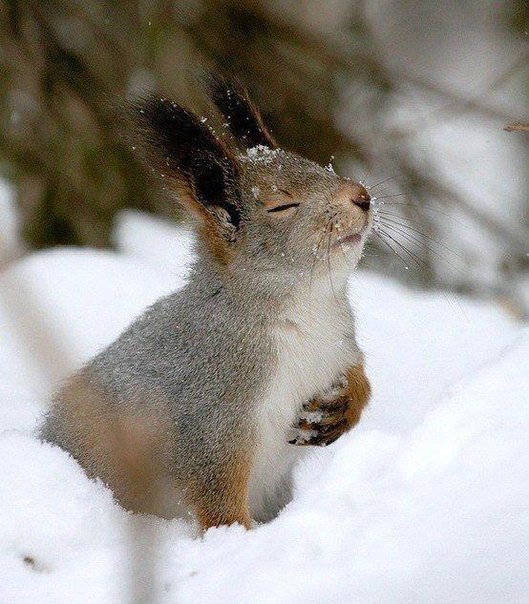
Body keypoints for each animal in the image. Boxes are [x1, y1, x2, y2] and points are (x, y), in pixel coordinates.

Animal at [40, 75, 372, 530]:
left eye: (320, 166)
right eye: (282, 205)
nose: (362, 195)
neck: (306, 309)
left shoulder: (339, 346)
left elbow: (360, 378)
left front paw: (343, 406)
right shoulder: (211, 414)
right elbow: (216, 494)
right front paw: (237, 538)